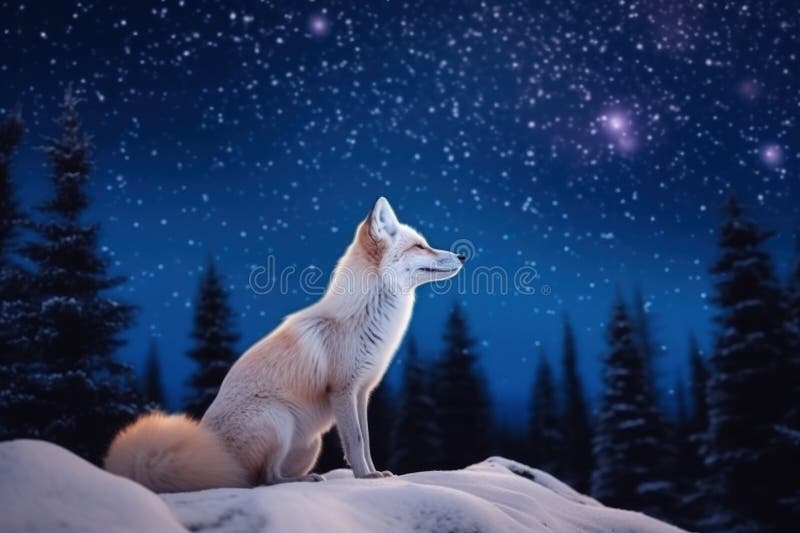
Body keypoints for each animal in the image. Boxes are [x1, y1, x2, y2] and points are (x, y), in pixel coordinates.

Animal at [104, 197, 466, 492]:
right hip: (277, 419)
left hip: (311, 443)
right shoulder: (343, 389)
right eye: (420, 246)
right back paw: (304, 480)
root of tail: (211, 454)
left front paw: (376, 473)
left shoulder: (363, 392)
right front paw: (365, 478)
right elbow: (355, 442)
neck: (365, 320)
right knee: (261, 481)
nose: (463, 254)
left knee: (258, 479)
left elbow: (366, 441)